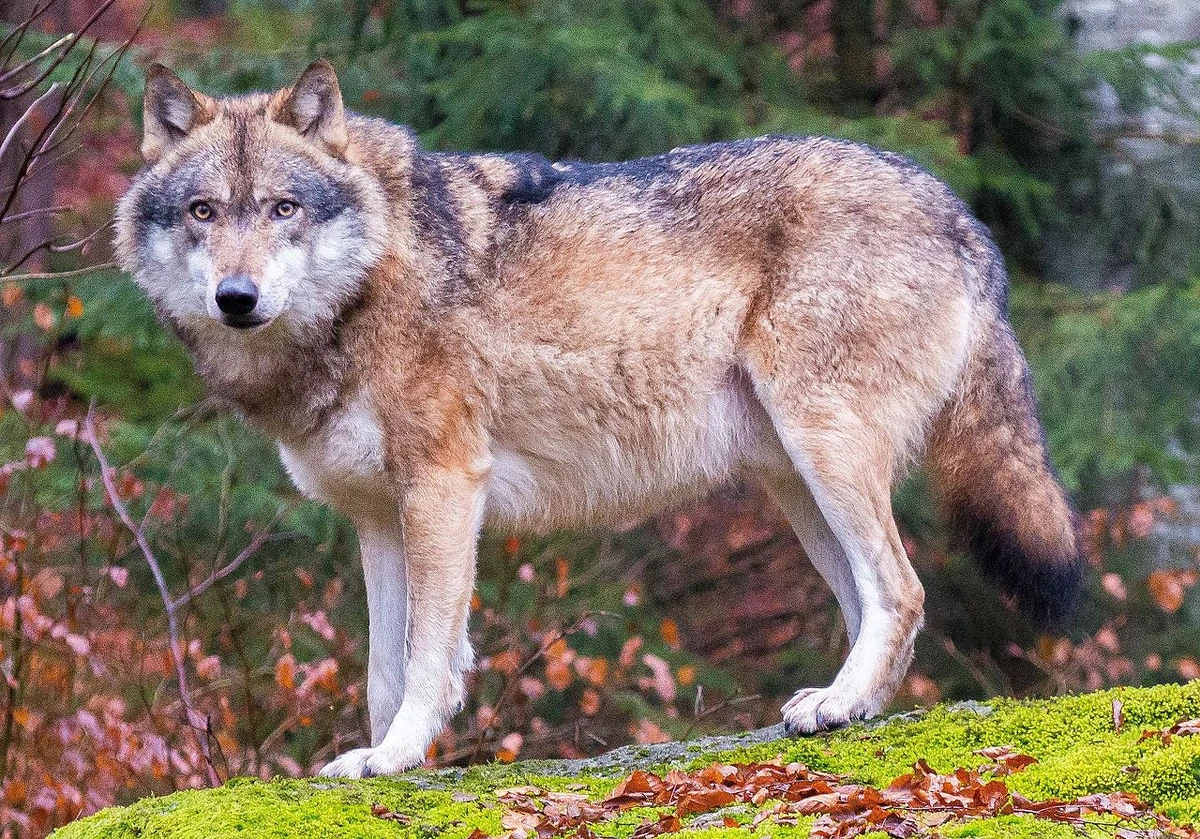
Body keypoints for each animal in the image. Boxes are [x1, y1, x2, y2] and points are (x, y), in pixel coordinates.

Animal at [115, 60, 1083, 778]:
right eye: (204, 211)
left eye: (283, 208)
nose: (236, 297)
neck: (367, 282)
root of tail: (964, 215)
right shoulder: (377, 517)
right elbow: (382, 670)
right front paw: (380, 755)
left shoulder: (444, 488)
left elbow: (428, 658)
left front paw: (397, 756)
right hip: (798, 486)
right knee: (876, 604)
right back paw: (844, 707)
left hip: (826, 451)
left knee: (904, 590)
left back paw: (841, 704)